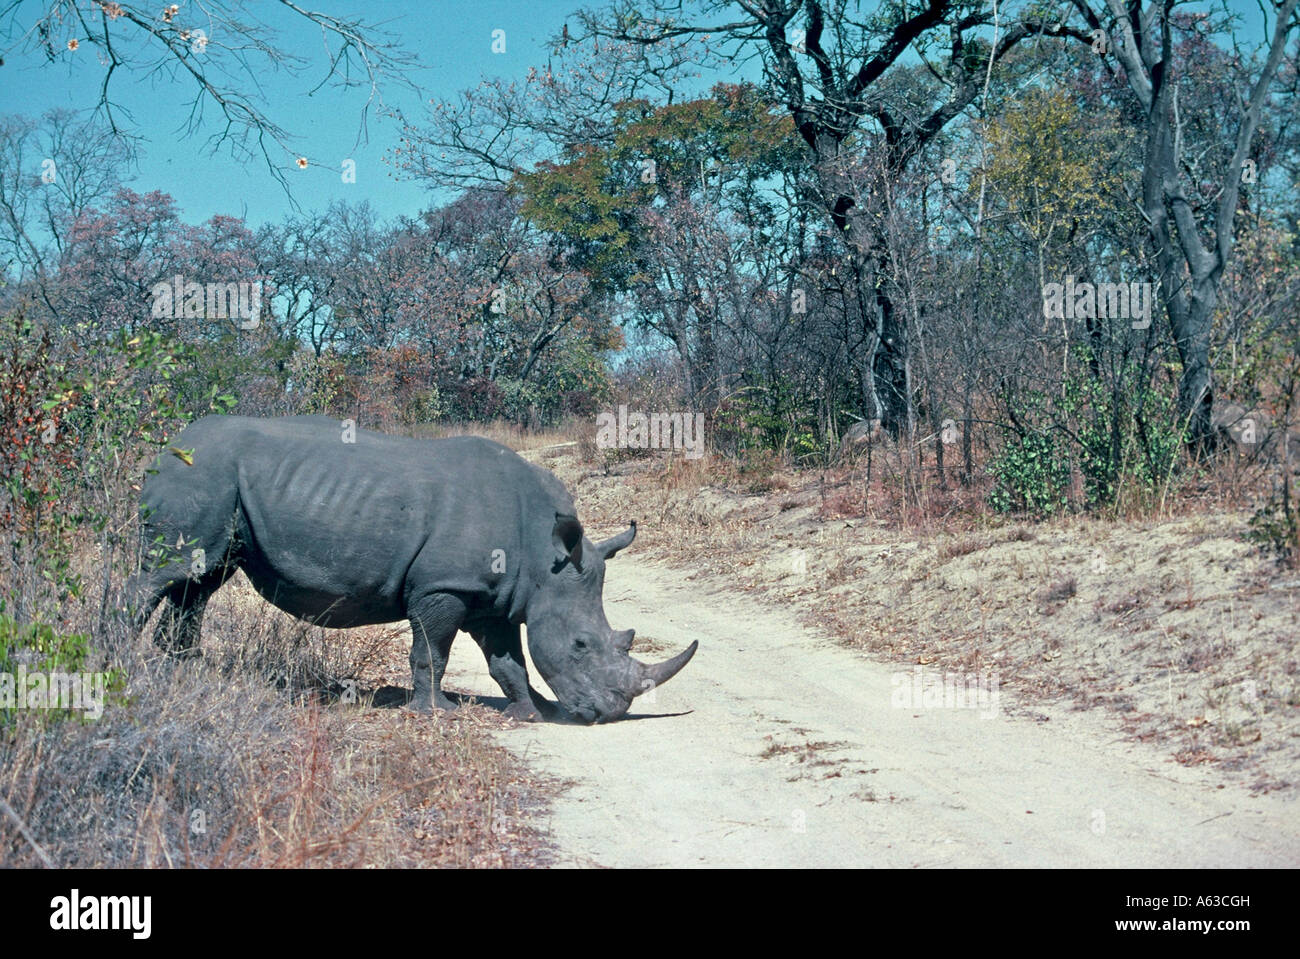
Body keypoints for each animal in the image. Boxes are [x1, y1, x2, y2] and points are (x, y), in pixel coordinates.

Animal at [124, 414, 697, 724]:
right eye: (581, 644)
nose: (606, 714)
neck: (543, 556)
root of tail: (164, 445)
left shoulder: (496, 595)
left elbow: (508, 661)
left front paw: (530, 713)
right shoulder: (443, 587)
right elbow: (432, 653)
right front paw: (436, 713)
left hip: (214, 484)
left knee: (199, 582)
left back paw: (182, 669)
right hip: (195, 475)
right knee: (165, 575)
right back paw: (122, 659)